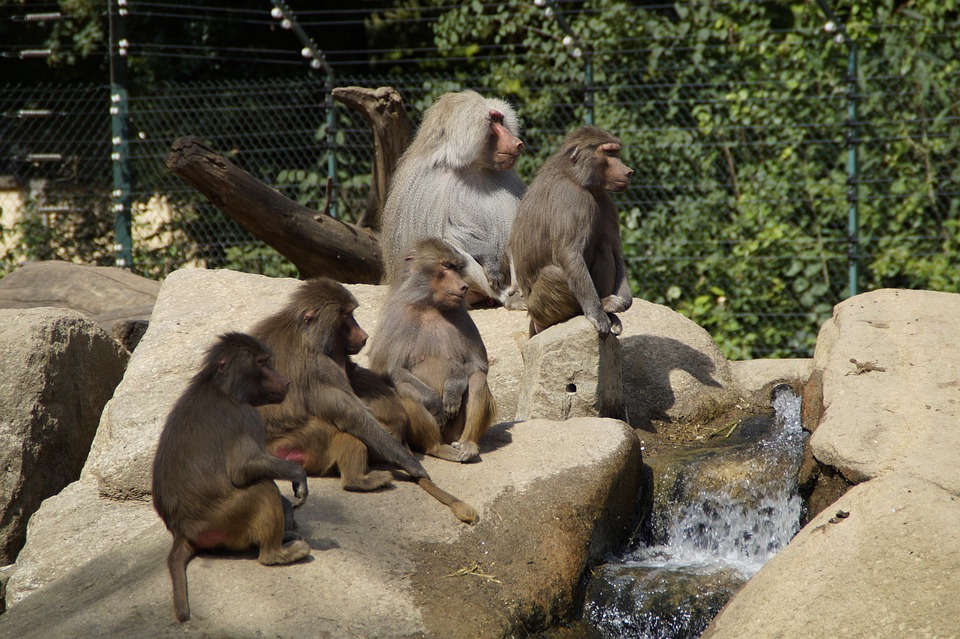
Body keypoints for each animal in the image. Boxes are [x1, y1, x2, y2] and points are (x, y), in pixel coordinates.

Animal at [151, 332, 310, 623]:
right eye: (261, 363)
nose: (286, 381)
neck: (223, 388)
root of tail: (181, 532)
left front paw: (288, 511)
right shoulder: (246, 415)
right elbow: (242, 468)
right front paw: (298, 478)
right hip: (223, 520)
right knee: (262, 489)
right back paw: (278, 554)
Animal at [367, 238, 497, 463]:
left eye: (456, 268)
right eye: (446, 266)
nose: (464, 286)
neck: (429, 305)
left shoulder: (463, 316)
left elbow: (478, 365)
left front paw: (452, 391)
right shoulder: (395, 314)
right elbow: (388, 371)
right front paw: (435, 403)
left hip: (455, 432)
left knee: (477, 379)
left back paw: (467, 445)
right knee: (406, 389)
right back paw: (437, 448)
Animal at [380, 90, 526, 308]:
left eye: (501, 119)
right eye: (492, 120)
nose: (518, 143)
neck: (471, 167)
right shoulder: (427, 186)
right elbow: (437, 236)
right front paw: (491, 260)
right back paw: (508, 297)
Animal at [507, 126, 635, 338]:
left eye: (616, 152)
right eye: (608, 152)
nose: (628, 171)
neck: (576, 177)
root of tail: (533, 320)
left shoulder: (607, 203)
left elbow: (616, 251)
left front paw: (622, 303)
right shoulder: (572, 199)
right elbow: (569, 253)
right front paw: (596, 314)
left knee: (604, 248)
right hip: (540, 309)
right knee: (553, 273)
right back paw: (597, 307)